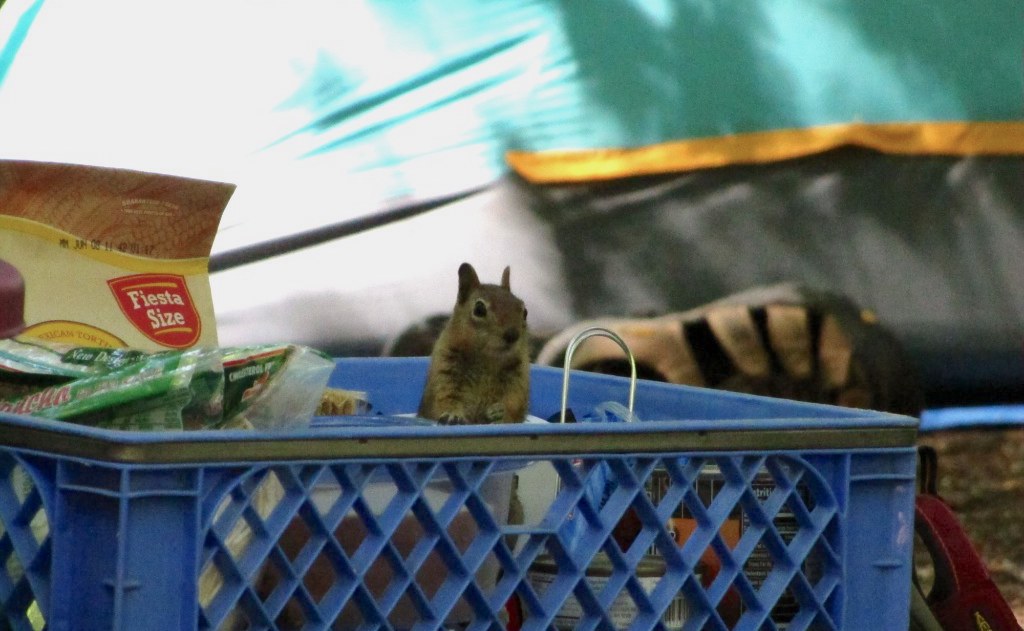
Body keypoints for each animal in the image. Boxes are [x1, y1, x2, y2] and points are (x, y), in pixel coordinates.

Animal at [417, 262, 530, 424]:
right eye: (479, 309)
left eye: (525, 311)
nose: (512, 335)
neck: (488, 360)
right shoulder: (445, 372)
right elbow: (446, 398)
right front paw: (452, 414)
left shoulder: (517, 382)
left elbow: (512, 405)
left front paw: (499, 414)